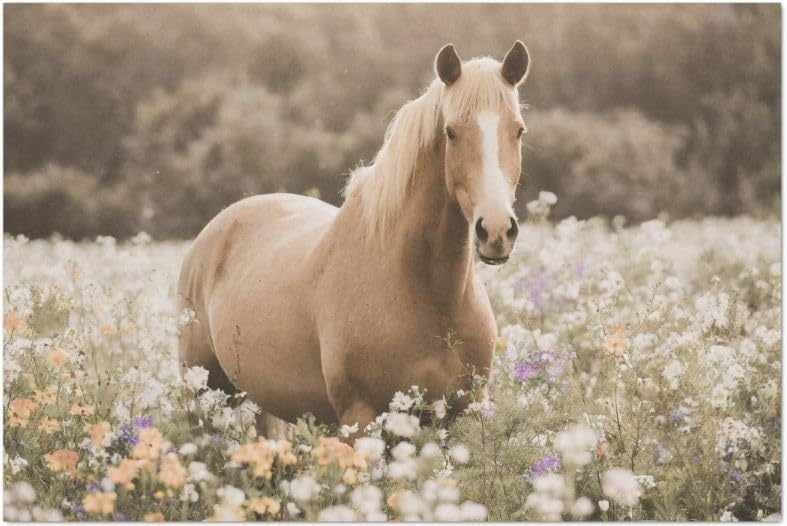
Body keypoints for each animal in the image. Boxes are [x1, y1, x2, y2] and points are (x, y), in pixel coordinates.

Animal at [177, 41, 531, 436]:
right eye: (451, 132)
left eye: (518, 131)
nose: (496, 230)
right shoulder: (361, 417)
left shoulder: (464, 414)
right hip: (203, 398)